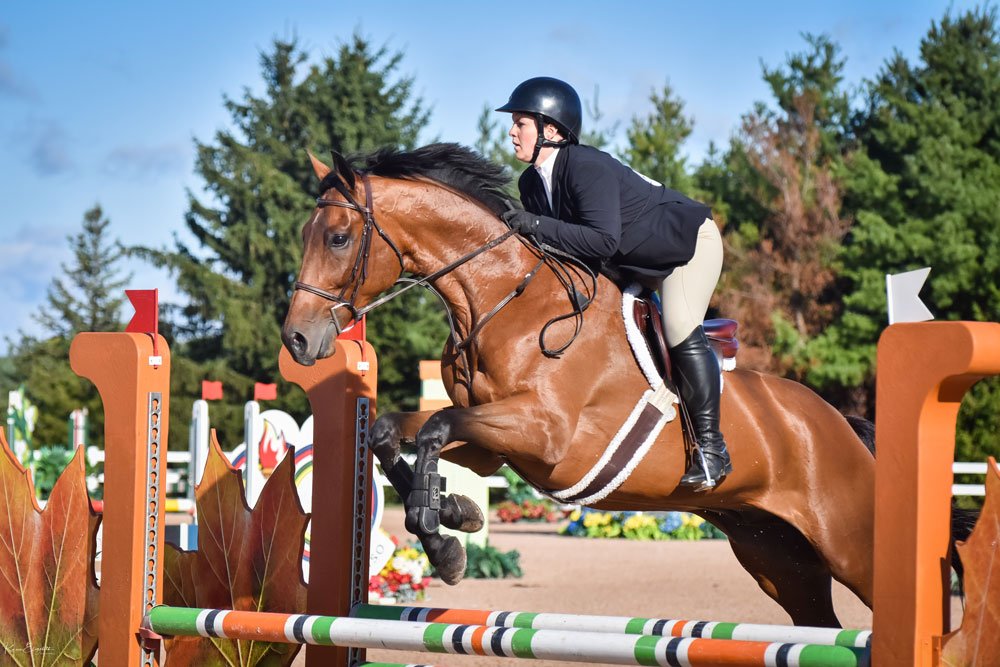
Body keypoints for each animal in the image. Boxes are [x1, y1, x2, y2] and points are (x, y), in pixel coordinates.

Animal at [282, 142, 884, 628]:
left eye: (338, 238)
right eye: (306, 234)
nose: (297, 341)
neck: (504, 301)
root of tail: (835, 421)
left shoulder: (546, 435)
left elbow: (434, 428)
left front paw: (442, 530)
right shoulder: (490, 447)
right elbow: (392, 431)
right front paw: (454, 520)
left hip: (850, 546)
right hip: (776, 554)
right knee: (820, 624)